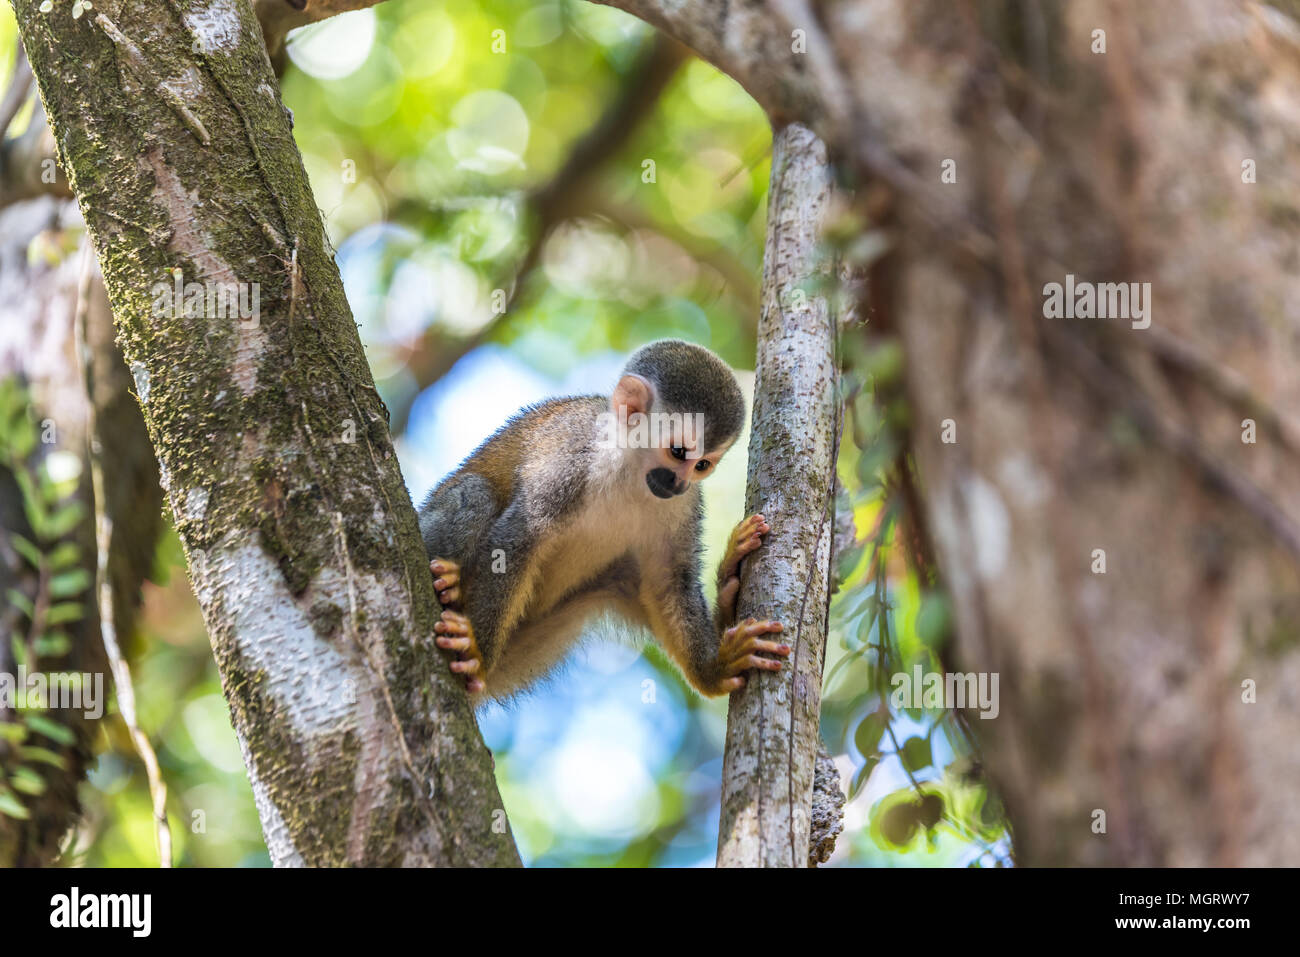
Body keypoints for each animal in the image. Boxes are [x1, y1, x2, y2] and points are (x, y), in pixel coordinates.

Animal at [417, 339, 790, 702]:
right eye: (678, 452)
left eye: (702, 465)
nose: (678, 484)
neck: (629, 467)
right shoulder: (572, 458)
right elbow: (519, 536)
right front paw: (478, 655)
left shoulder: (685, 504)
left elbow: (669, 580)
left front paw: (714, 670)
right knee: (476, 494)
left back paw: (730, 582)